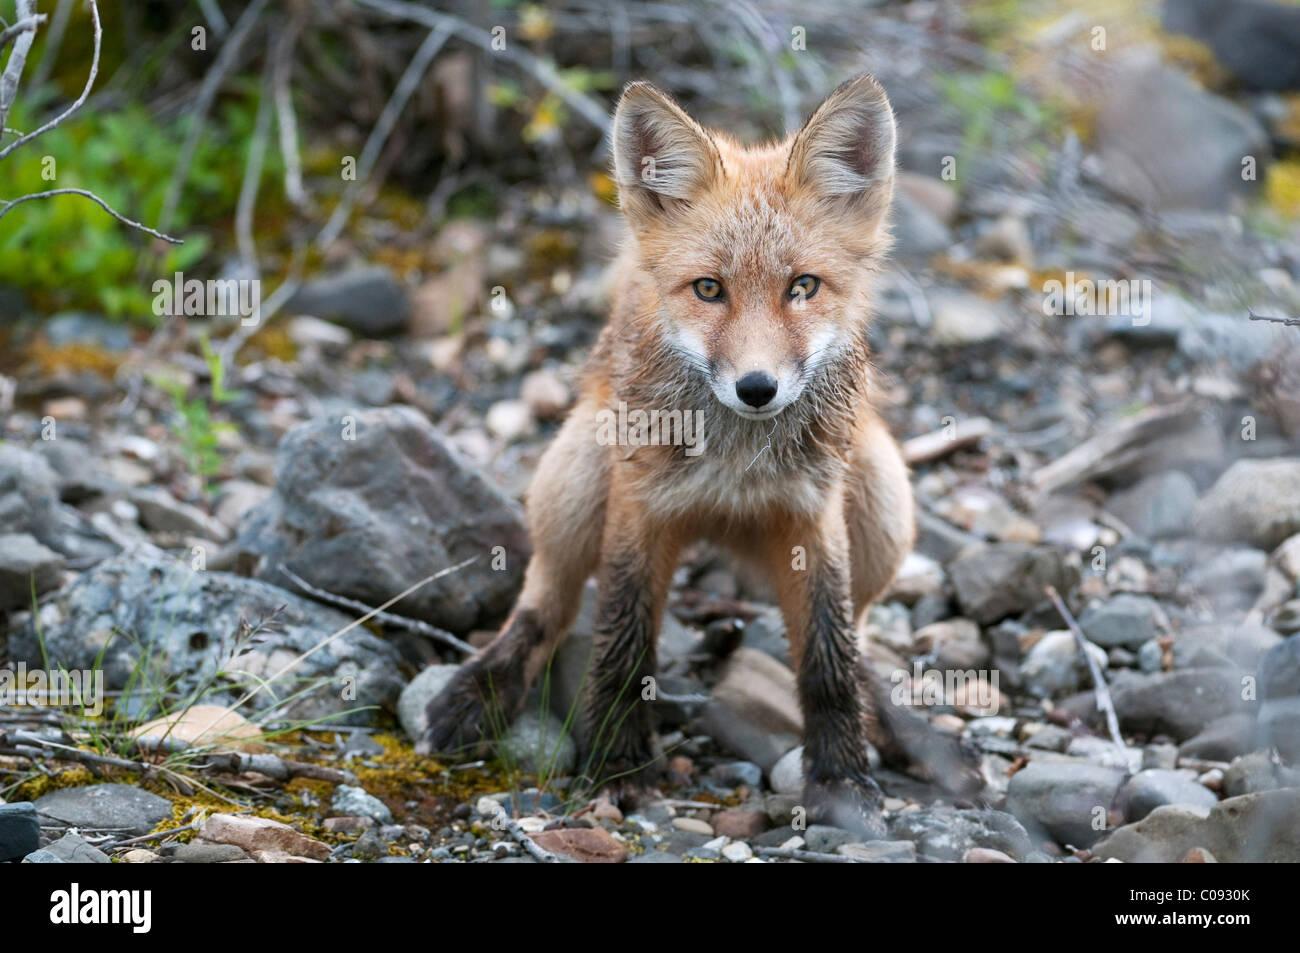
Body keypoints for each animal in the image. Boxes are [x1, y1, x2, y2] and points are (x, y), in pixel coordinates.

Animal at [419, 74, 984, 836]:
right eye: (709, 289)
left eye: (803, 286)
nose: (756, 387)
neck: (736, 470)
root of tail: (723, 531)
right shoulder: (640, 509)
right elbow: (623, 641)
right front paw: (620, 765)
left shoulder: (813, 518)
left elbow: (830, 656)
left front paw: (840, 775)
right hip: (577, 472)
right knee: (546, 603)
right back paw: (480, 687)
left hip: (883, 498)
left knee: (861, 639)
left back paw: (905, 733)